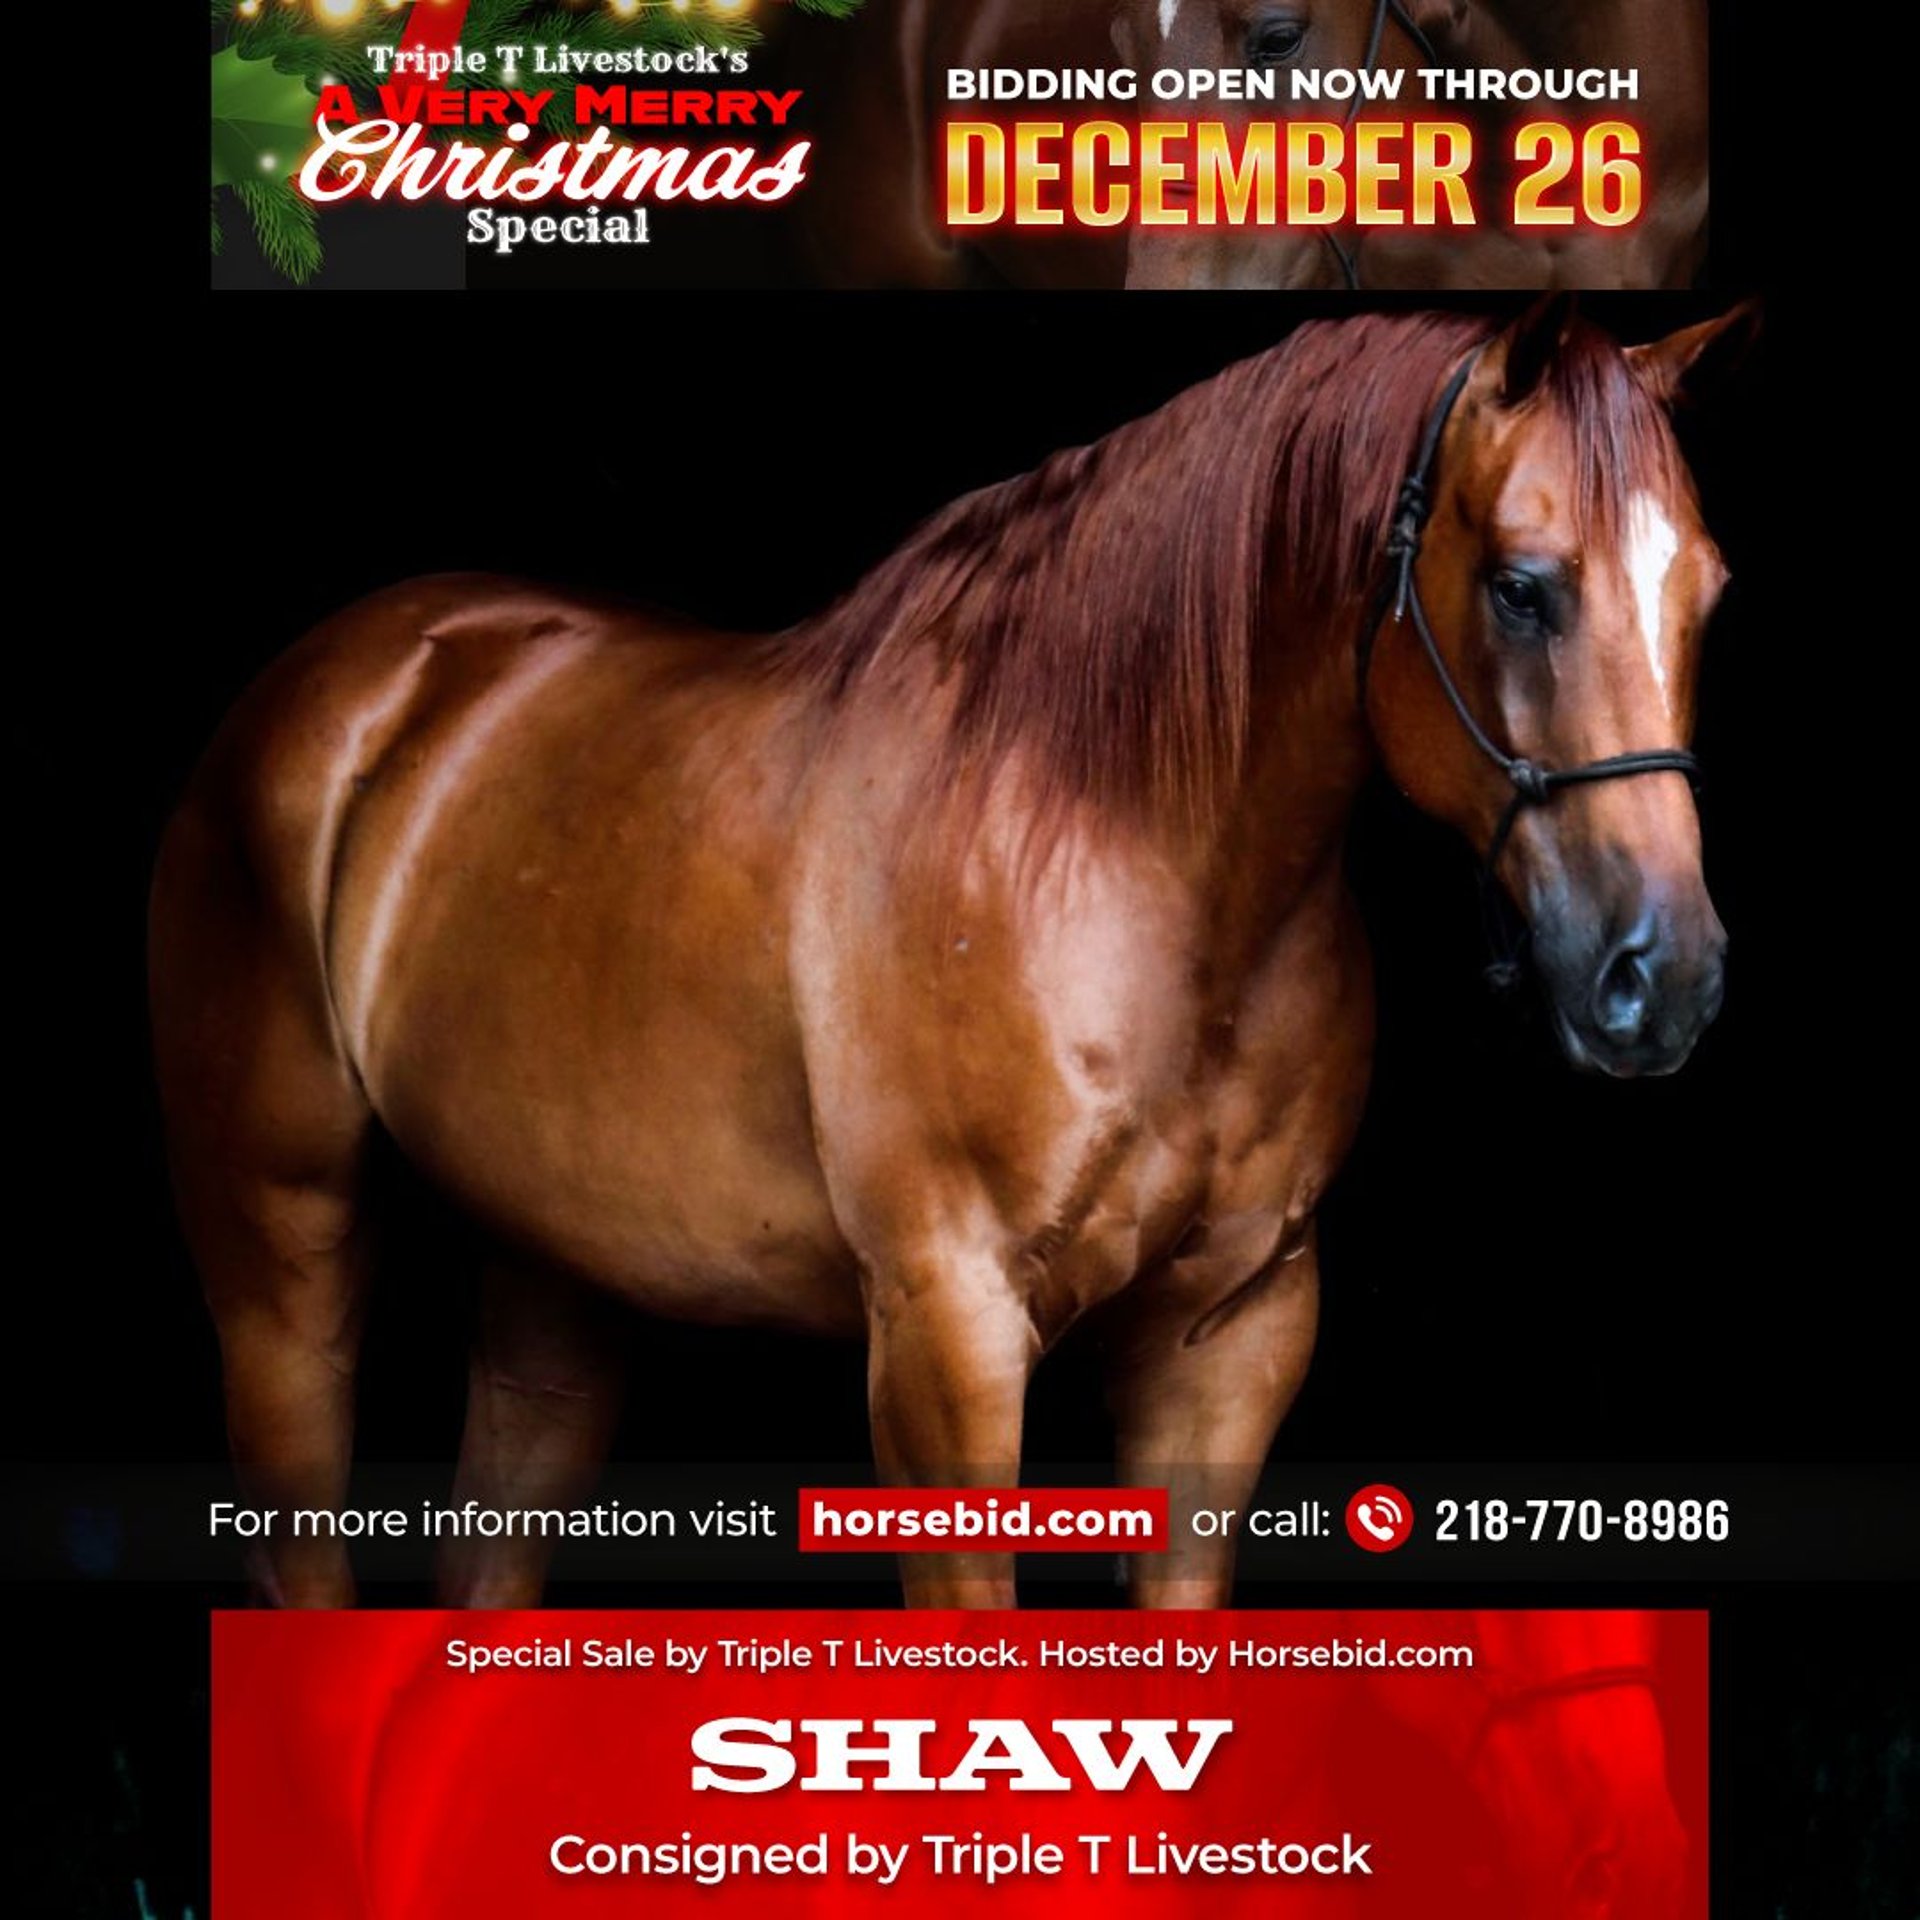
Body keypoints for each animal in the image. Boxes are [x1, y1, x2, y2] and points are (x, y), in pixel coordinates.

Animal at [151, 300, 1748, 1612]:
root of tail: (365, 671)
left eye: (1708, 595)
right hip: (281, 1261)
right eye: (1526, 585)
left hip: (558, 1276)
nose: (1662, 977)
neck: (1115, 849)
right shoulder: (947, 1338)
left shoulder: (1230, 1343)